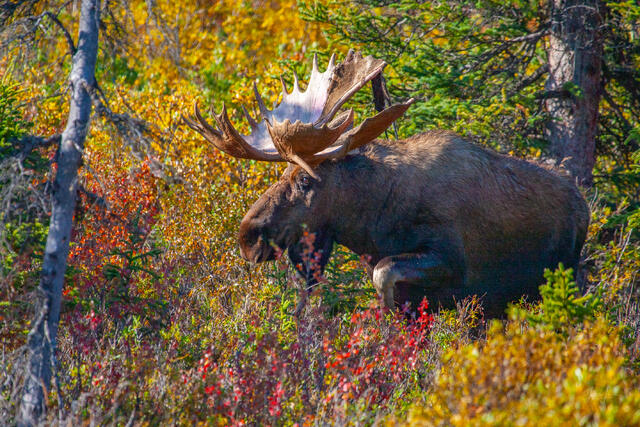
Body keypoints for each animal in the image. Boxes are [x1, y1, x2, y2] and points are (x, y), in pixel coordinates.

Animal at [184, 50, 589, 317]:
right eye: (282, 176)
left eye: (305, 179)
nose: (247, 237)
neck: (373, 226)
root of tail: (585, 206)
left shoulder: (452, 261)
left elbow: (384, 275)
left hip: (564, 275)